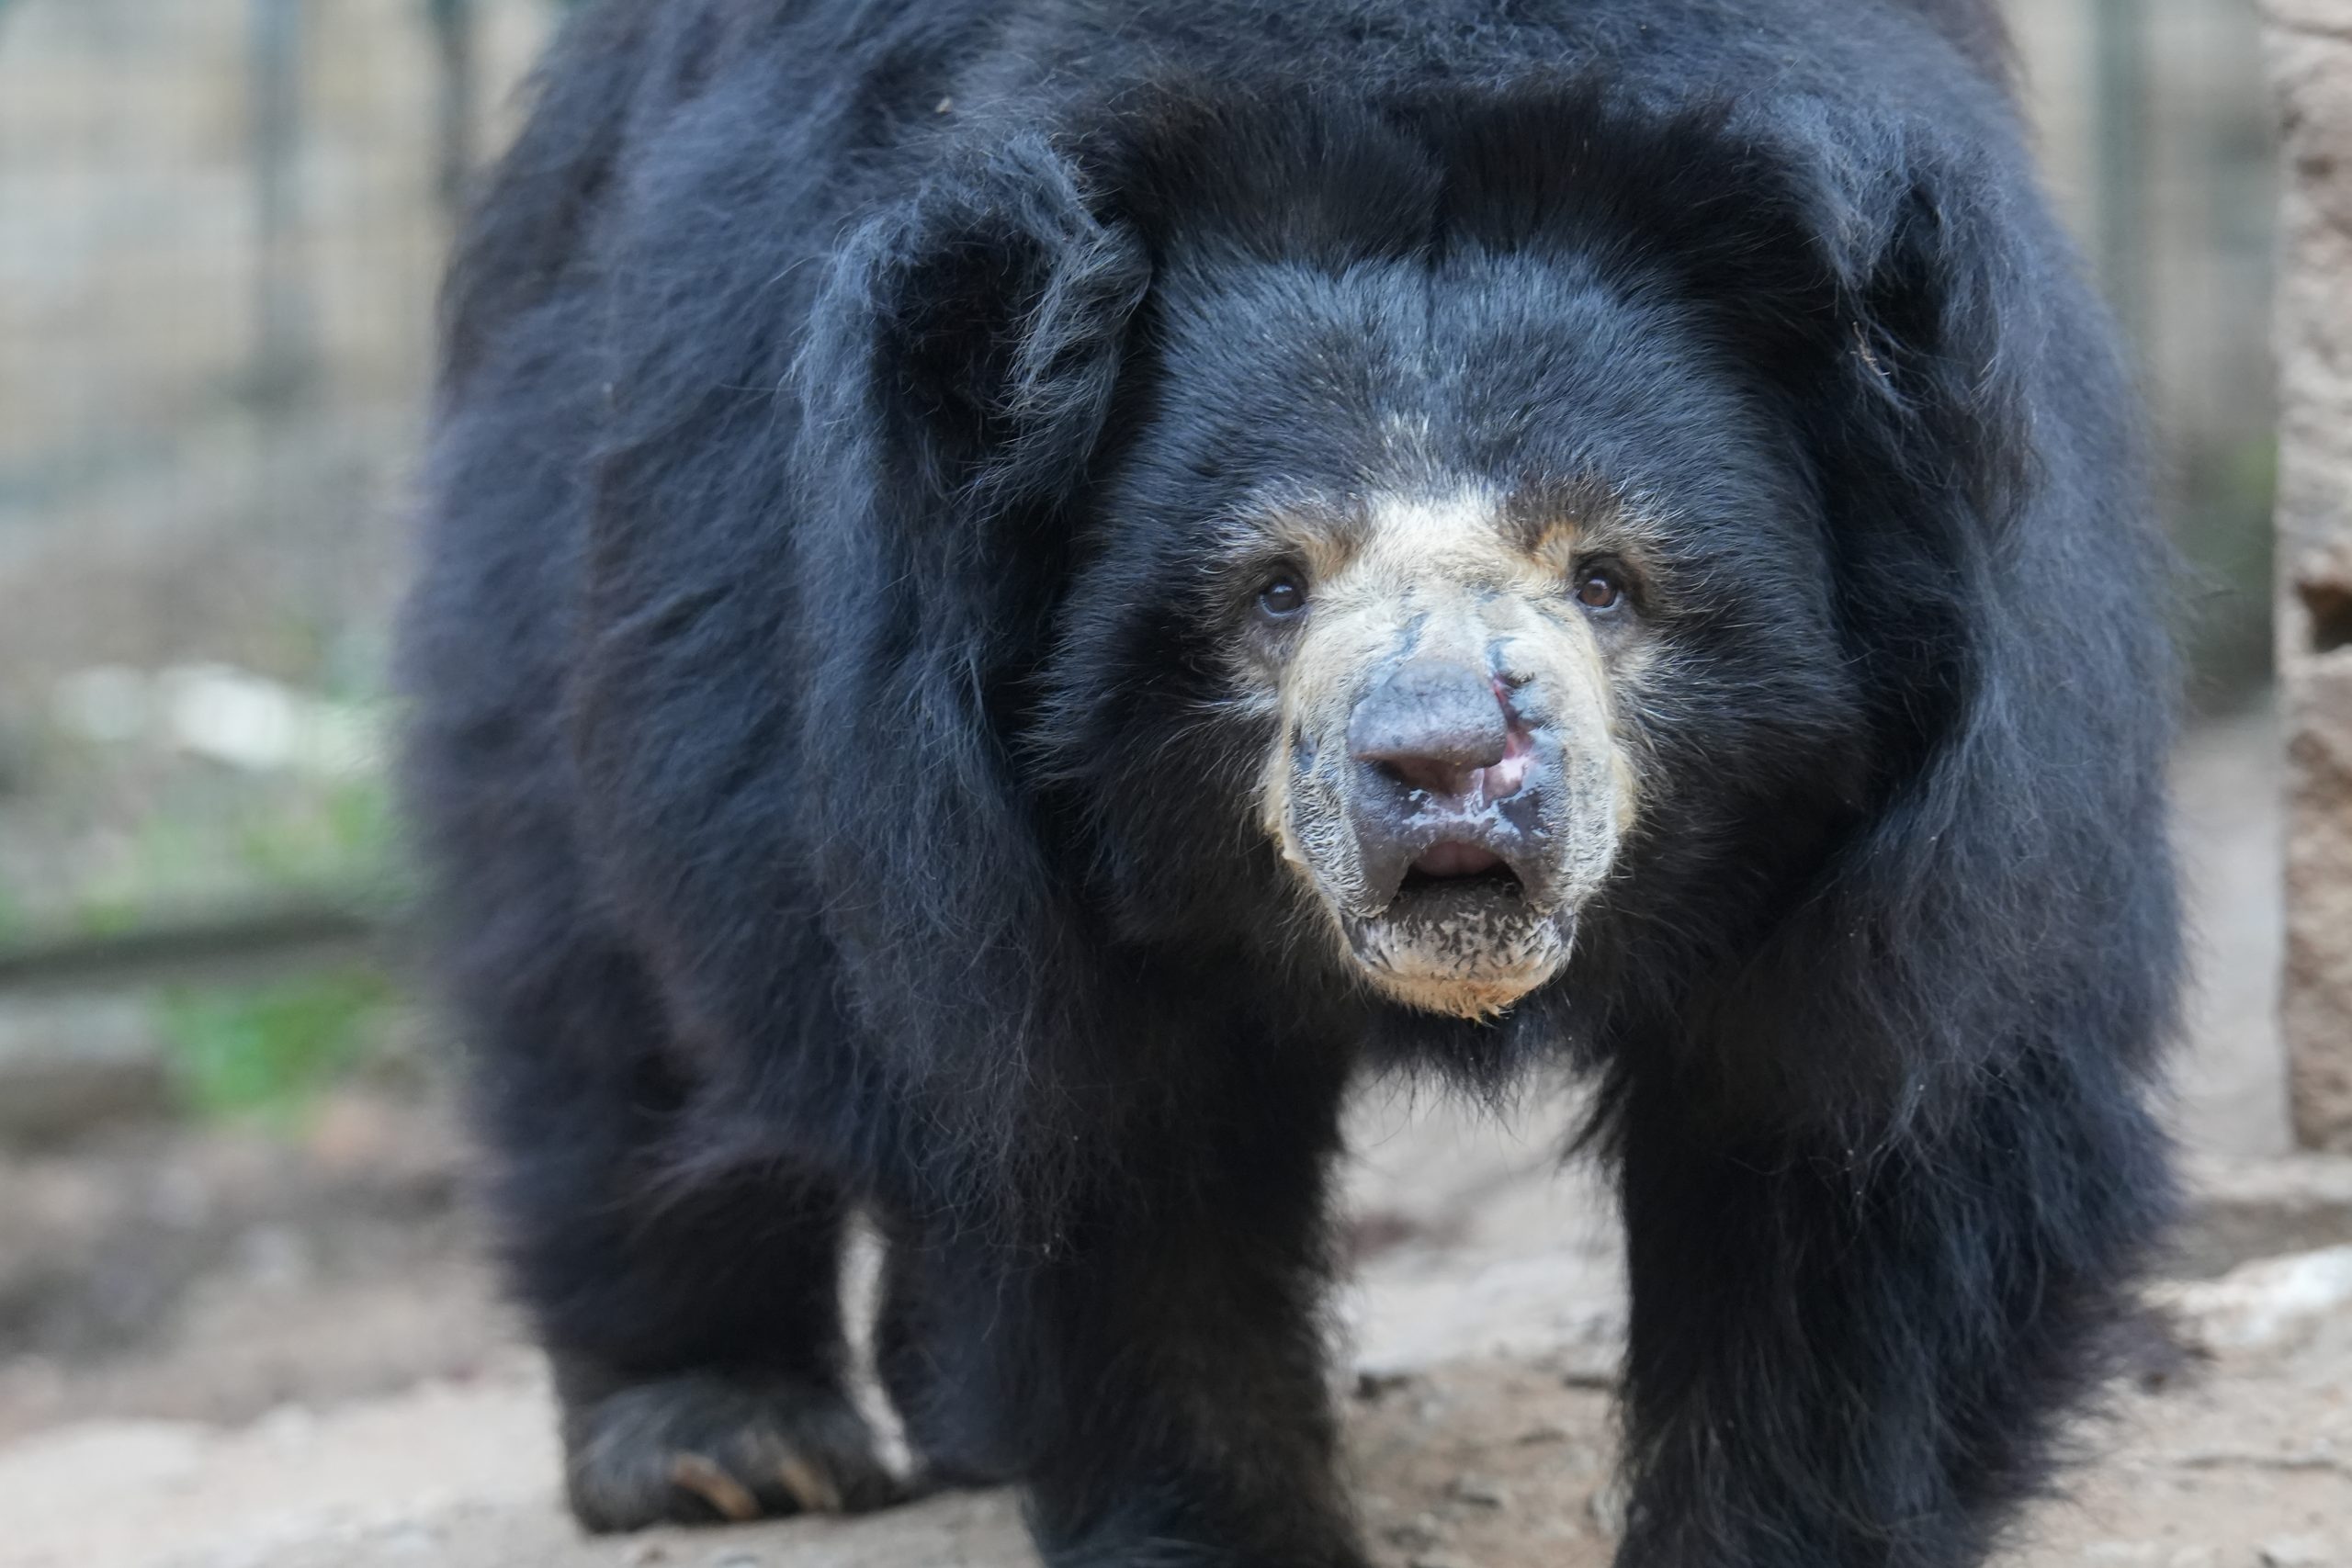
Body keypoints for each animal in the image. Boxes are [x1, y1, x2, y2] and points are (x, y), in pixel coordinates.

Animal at [396, 1, 2181, 1564]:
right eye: (1272, 587)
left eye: (1606, 576)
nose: (1445, 764)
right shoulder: (930, 767)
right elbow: (1107, 1146)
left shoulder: (1949, 790)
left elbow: (1862, 1123)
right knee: (593, 969)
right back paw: (720, 1438)